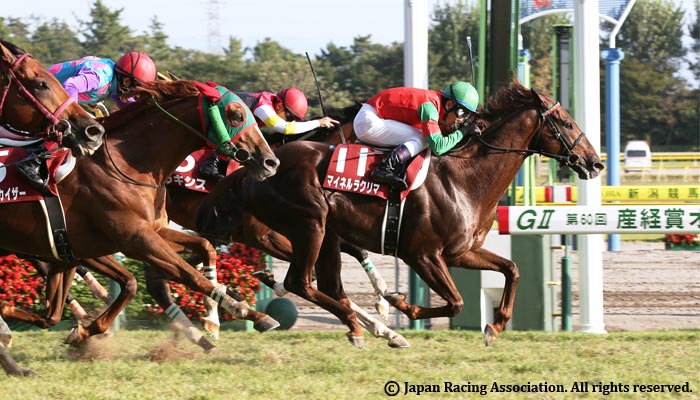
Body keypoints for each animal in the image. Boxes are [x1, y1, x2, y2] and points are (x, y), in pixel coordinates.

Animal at [0, 79, 281, 370]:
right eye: (236, 115)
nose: (270, 162)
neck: (126, 164)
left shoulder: (139, 235)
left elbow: (203, 248)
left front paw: (215, 317)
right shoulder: (135, 239)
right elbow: (189, 276)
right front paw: (248, 314)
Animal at [196, 81, 605, 348]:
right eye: (566, 123)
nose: (595, 162)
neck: (464, 179)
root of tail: (259, 167)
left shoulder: (461, 251)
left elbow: (512, 269)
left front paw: (496, 327)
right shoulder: (423, 254)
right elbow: (456, 301)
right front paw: (400, 303)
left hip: (326, 235)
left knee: (325, 285)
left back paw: (362, 327)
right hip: (309, 224)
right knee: (300, 282)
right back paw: (362, 325)